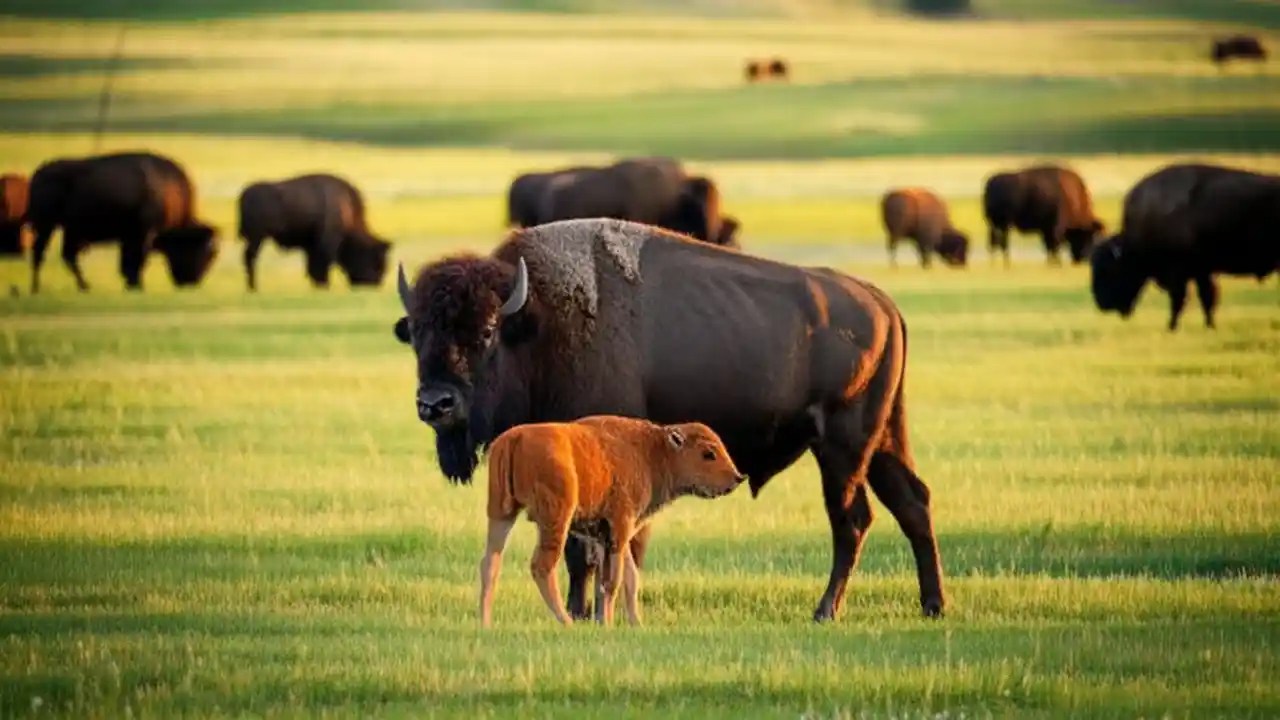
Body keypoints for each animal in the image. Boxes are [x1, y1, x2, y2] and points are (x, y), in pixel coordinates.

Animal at [28, 152, 218, 293]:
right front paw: (137, 286)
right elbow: (137, 261)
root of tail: (39, 173)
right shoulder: (144, 234)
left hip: (69, 230)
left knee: (67, 255)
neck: (170, 190)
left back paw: (83, 287)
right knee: (40, 252)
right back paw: (37, 288)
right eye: (206, 253)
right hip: (47, 225)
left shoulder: (129, 237)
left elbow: (127, 262)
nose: (191, 282)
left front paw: (130, 285)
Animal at [238, 174, 391, 291]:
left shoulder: (311, 247)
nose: (373, 284)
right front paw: (324, 286)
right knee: (250, 258)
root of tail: (245, 193)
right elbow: (321, 266)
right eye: (375, 261)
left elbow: (312, 267)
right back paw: (253, 288)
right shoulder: (325, 246)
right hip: (256, 238)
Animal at [393, 218, 946, 622]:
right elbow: (580, 544)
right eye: (417, 332)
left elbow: (595, 547)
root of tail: (883, 304)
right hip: (884, 439)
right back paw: (933, 606)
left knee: (851, 519)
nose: (435, 404)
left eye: (486, 332)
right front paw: (582, 610)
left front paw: (588, 613)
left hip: (842, 446)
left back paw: (826, 611)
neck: (539, 325)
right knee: (912, 503)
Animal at [1091, 163, 1279, 330]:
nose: (1101, 303)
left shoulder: (1178, 273)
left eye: (1108, 270)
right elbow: (1207, 298)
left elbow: (1180, 299)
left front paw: (1171, 327)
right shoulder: (1202, 272)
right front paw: (1209, 326)